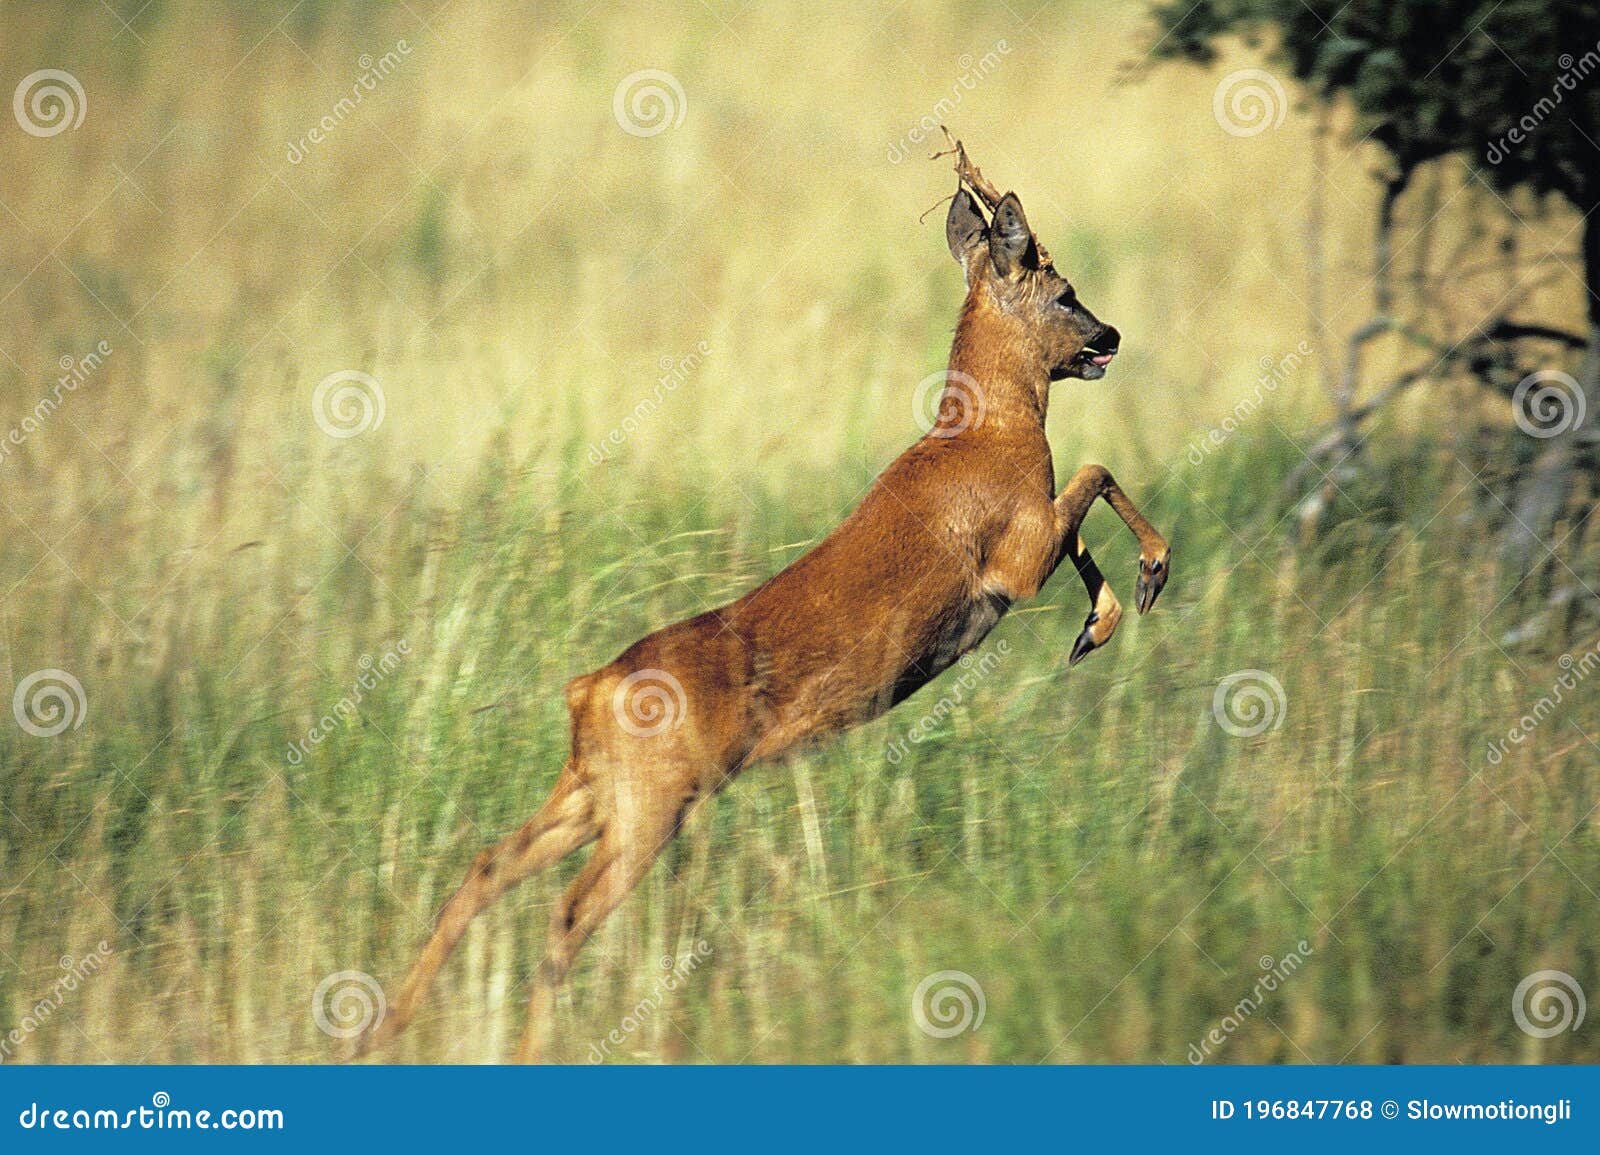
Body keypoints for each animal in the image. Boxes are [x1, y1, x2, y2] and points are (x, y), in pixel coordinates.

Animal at [362, 137, 1171, 1062]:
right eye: (1064, 289)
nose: (1111, 334)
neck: (987, 430)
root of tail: (587, 692)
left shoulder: (1030, 541)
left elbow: (1086, 500)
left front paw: (1097, 622)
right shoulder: (1015, 558)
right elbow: (1095, 470)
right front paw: (1141, 585)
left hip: (593, 791)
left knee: (486, 865)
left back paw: (387, 1028)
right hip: (650, 805)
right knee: (564, 915)